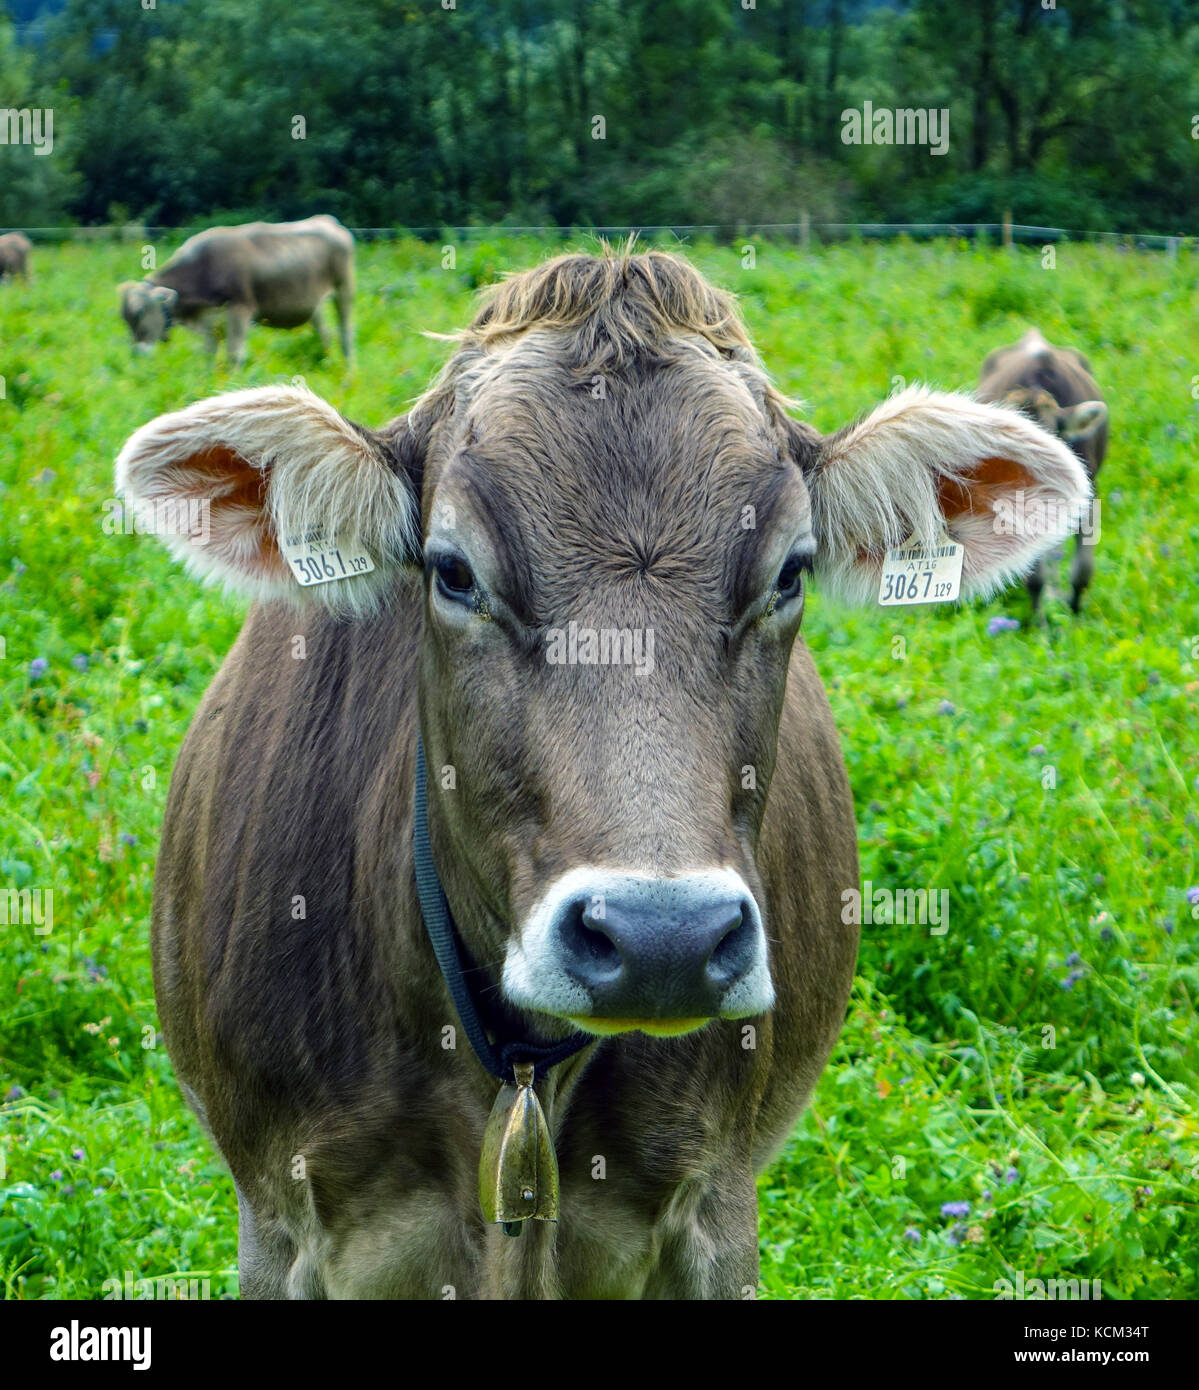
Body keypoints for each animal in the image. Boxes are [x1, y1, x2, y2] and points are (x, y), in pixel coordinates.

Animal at [118, 215, 354, 366]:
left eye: (139, 312)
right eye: (124, 318)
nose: (136, 354)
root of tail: (328, 220)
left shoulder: (241, 308)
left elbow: (235, 356)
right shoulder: (209, 321)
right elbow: (208, 356)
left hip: (344, 289)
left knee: (346, 336)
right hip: (314, 304)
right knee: (326, 334)